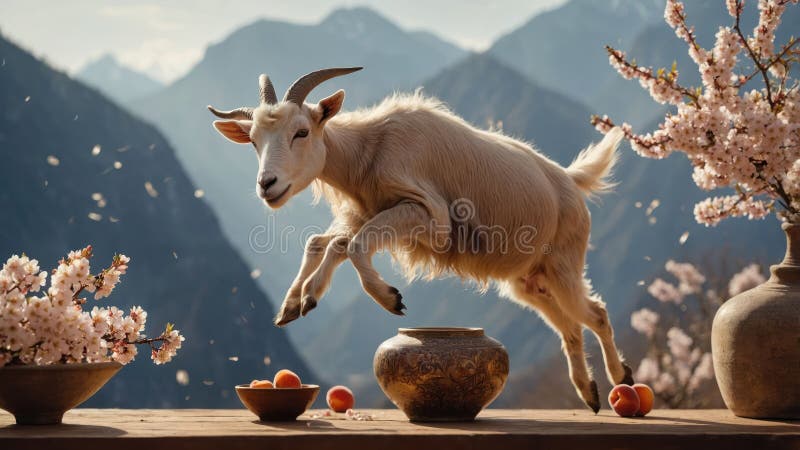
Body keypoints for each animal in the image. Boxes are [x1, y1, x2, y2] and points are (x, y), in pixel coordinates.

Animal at [208, 68, 632, 412]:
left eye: (302, 131)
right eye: (253, 140)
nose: (267, 185)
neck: (370, 149)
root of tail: (571, 180)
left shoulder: (429, 217)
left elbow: (352, 245)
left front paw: (388, 299)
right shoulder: (367, 212)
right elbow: (325, 242)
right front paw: (295, 305)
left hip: (563, 266)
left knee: (596, 313)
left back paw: (621, 378)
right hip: (529, 282)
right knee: (570, 328)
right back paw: (590, 393)